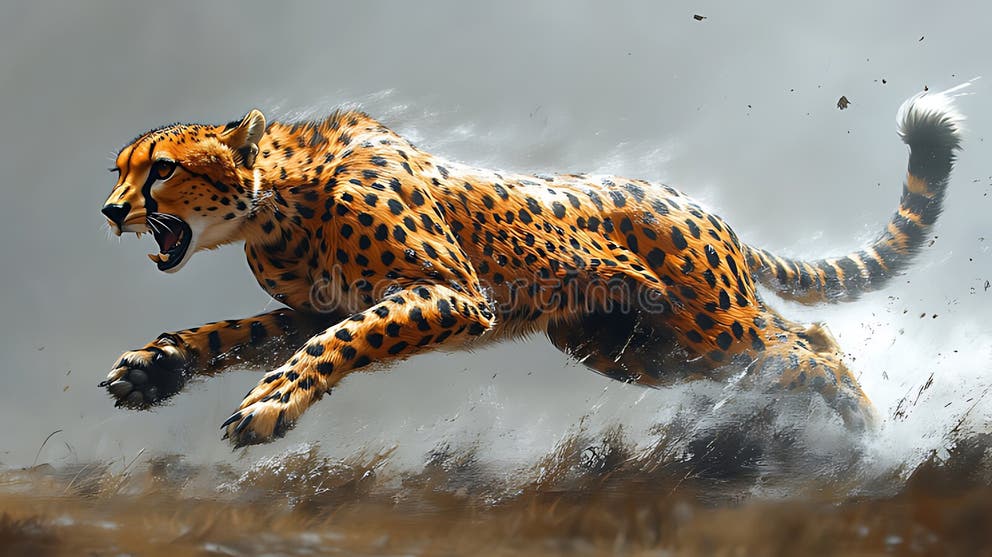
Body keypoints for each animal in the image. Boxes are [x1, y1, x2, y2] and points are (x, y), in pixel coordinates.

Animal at [100, 87, 964, 447]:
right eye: (121, 169)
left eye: (162, 169)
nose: (110, 211)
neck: (277, 203)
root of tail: (700, 205)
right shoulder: (318, 302)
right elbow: (237, 331)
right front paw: (155, 366)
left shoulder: (453, 293)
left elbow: (337, 341)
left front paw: (272, 403)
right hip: (639, 350)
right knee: (784, 356)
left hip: (712, 325)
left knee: (808, 344)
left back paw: (865, 433)